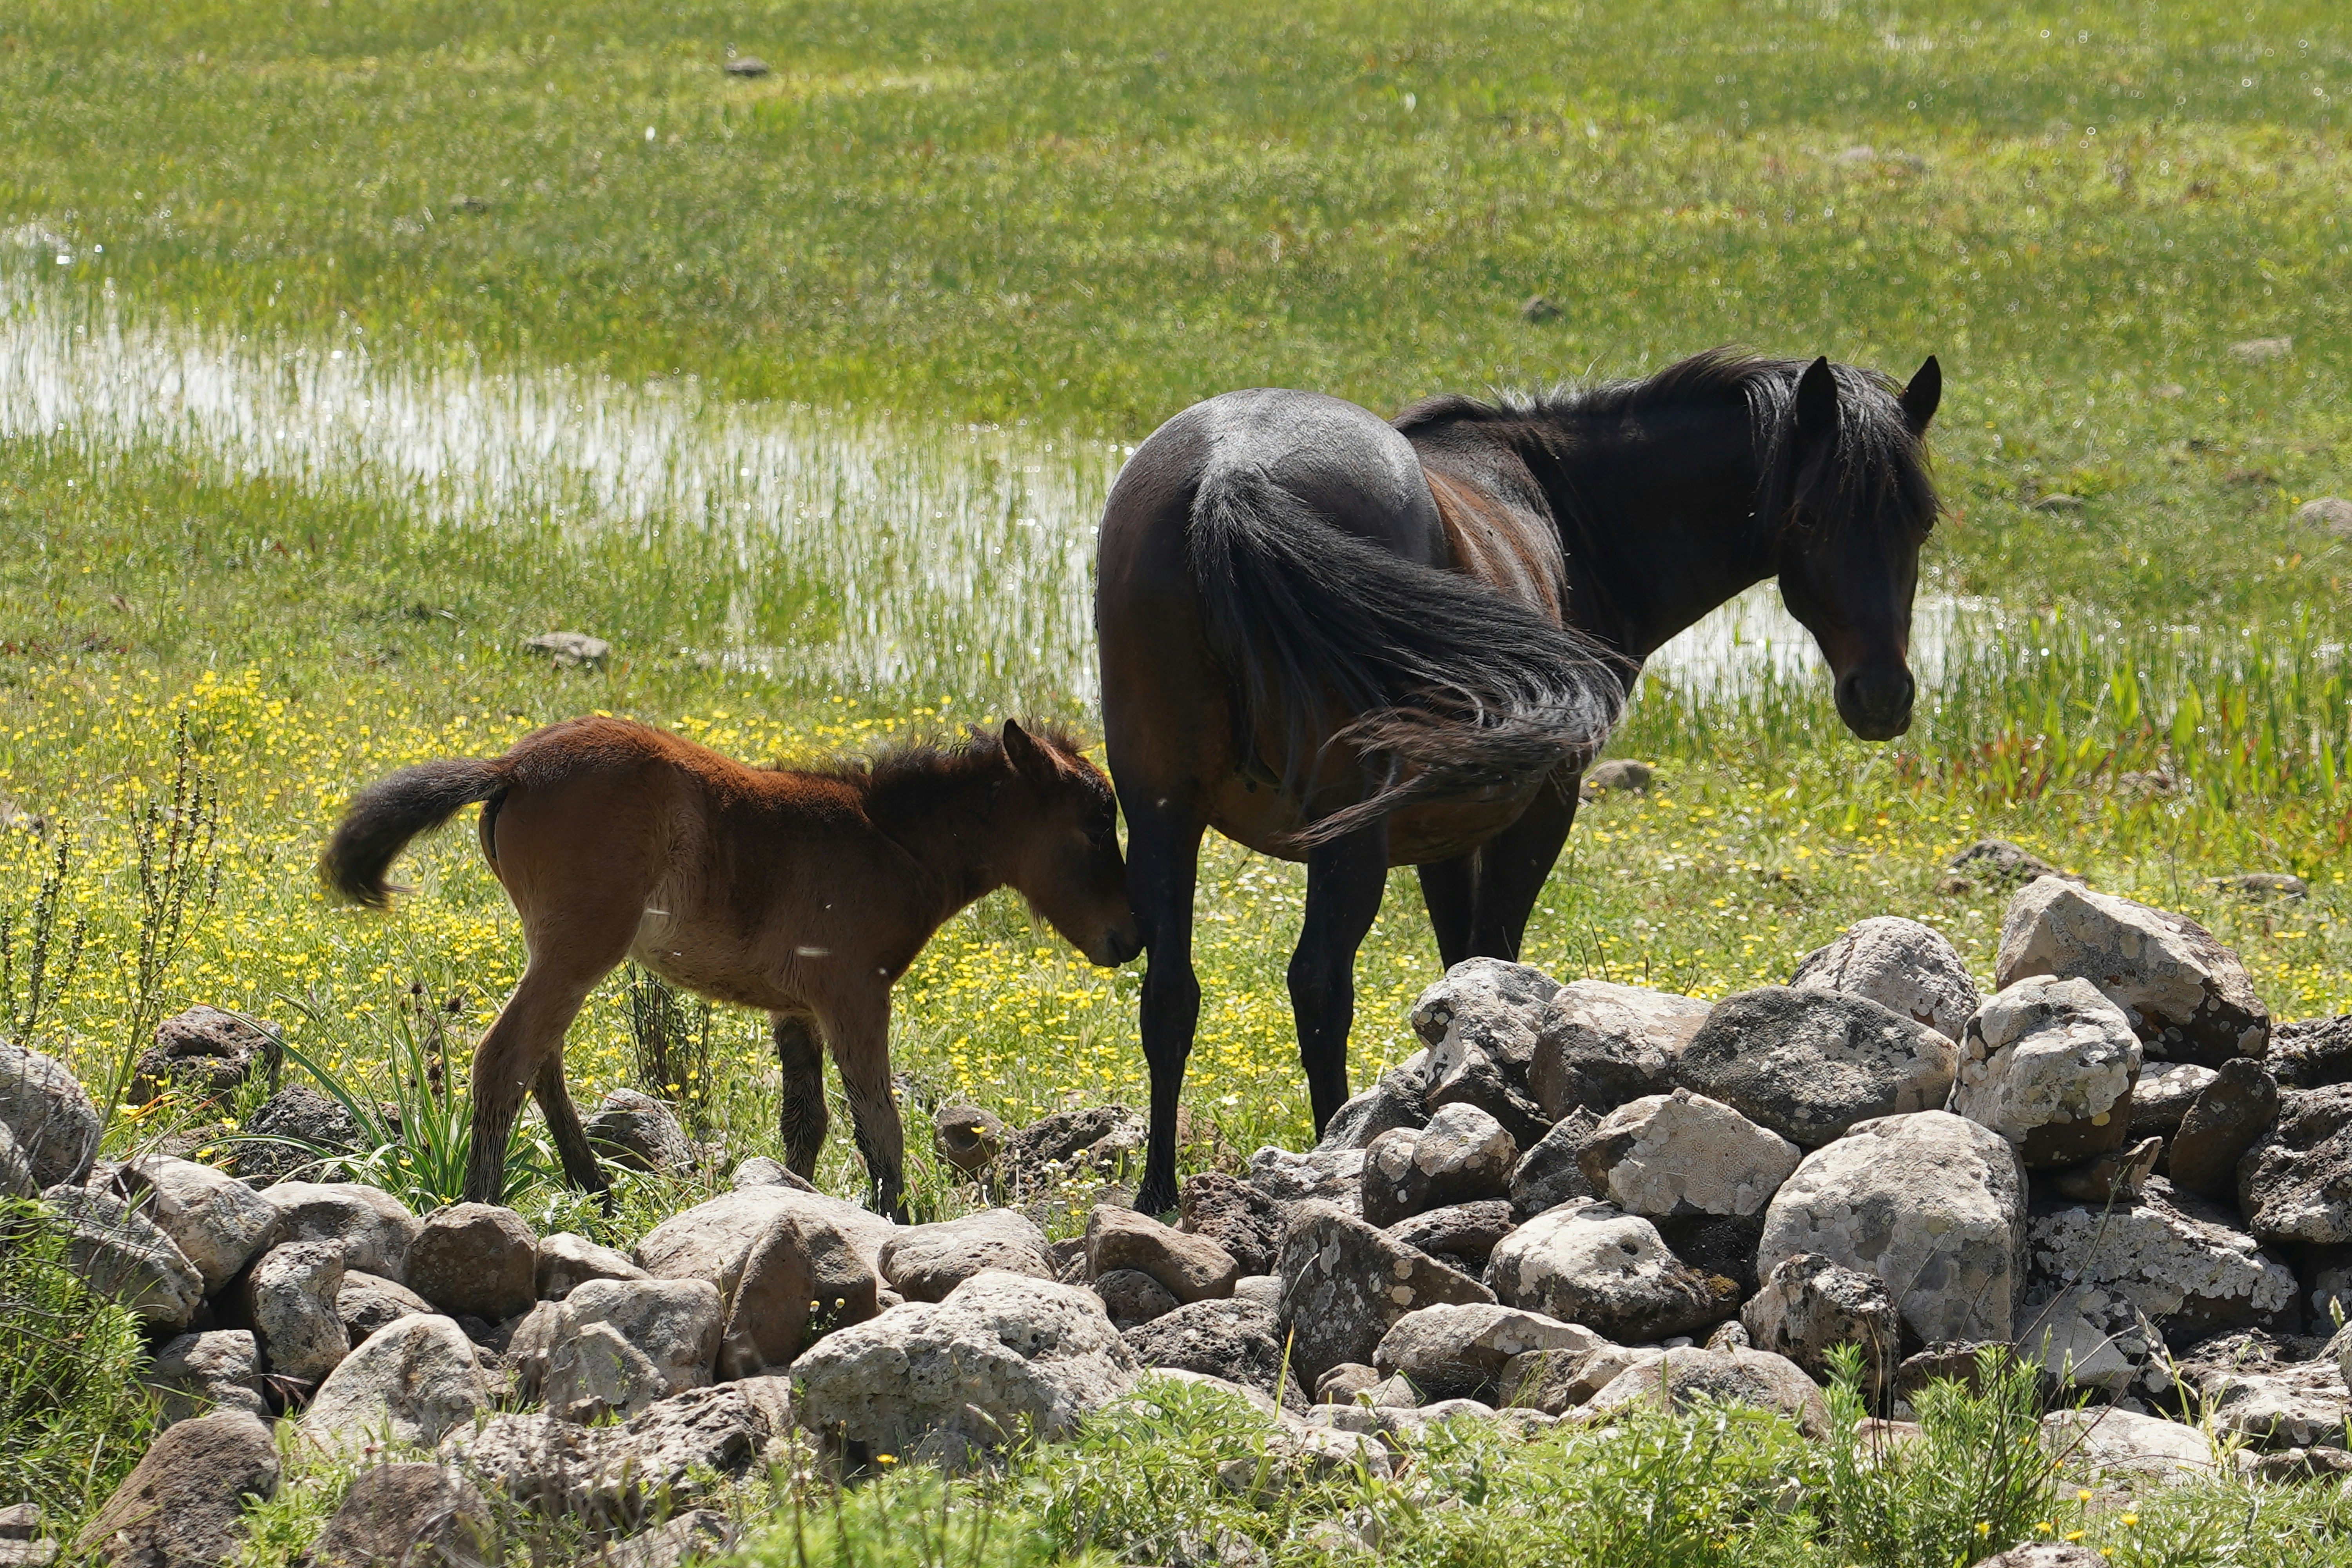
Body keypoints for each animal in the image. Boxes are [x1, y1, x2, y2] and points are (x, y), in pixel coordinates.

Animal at [319, 717, 1141, 1216]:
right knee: (504, 1058)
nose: (1130, 940)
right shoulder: (855, 995)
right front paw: (896, 1220)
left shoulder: (796, 1008)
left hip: (555, 948)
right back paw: (485, 1205)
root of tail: (512, 766)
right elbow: (880, 1123)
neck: (888, 842)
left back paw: (594, 1191)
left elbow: (806, 1124)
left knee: (539, 1060)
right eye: (1096, 823)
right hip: (583, 945)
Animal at [1096, 348, 1942, 1212]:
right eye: (1807, 520)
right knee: (1319, 987)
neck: (1570, 511)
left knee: (1170, 998)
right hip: (1345, 836)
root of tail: (1229, 473)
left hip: (1164, 815)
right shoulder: (1538, 812)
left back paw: (1158, 1194)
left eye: (1921, 524)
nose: (1882, 696)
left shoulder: (1443, 834)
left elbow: (1459, 971)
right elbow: (1494, 962)